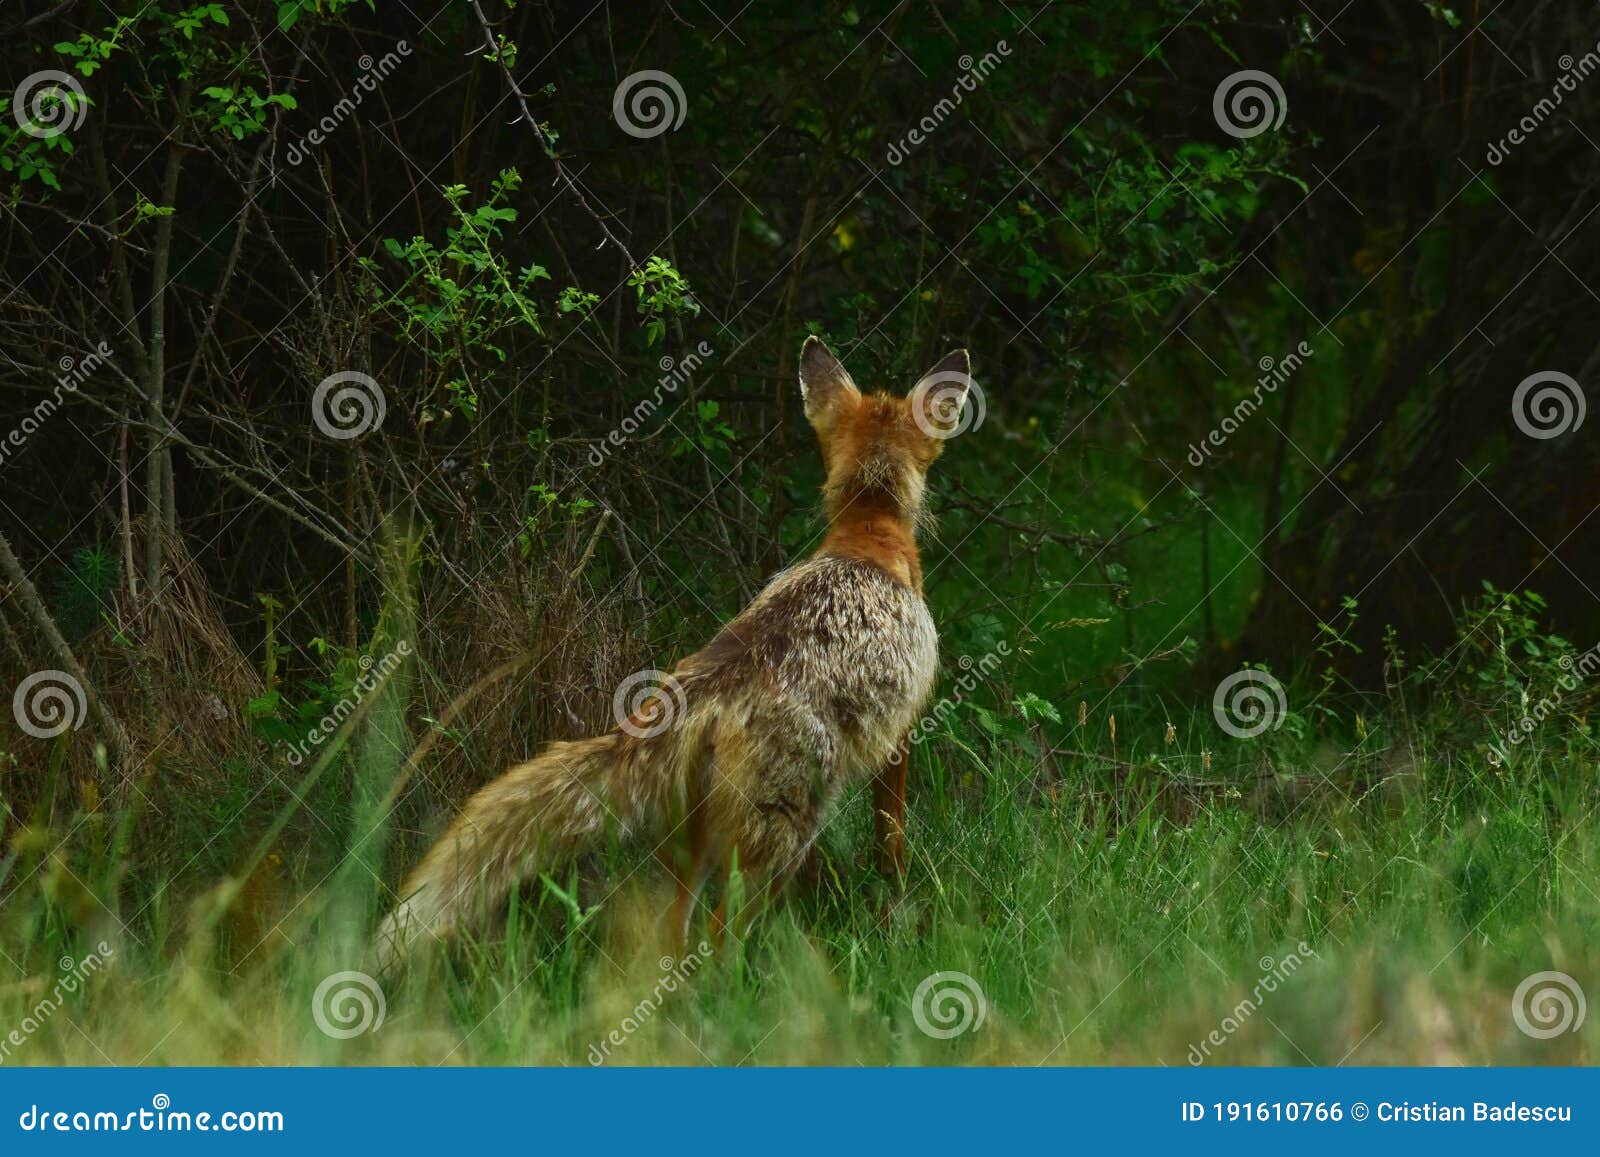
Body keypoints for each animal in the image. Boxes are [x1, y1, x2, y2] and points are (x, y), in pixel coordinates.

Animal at [377, 336, 973, 966]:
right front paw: (896, 896)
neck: (868, 536)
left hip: (694, 853)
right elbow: (892, 835)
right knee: (716, 943)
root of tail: (702, 692)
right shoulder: (900, 736)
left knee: (672, 939)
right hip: (773, 846)